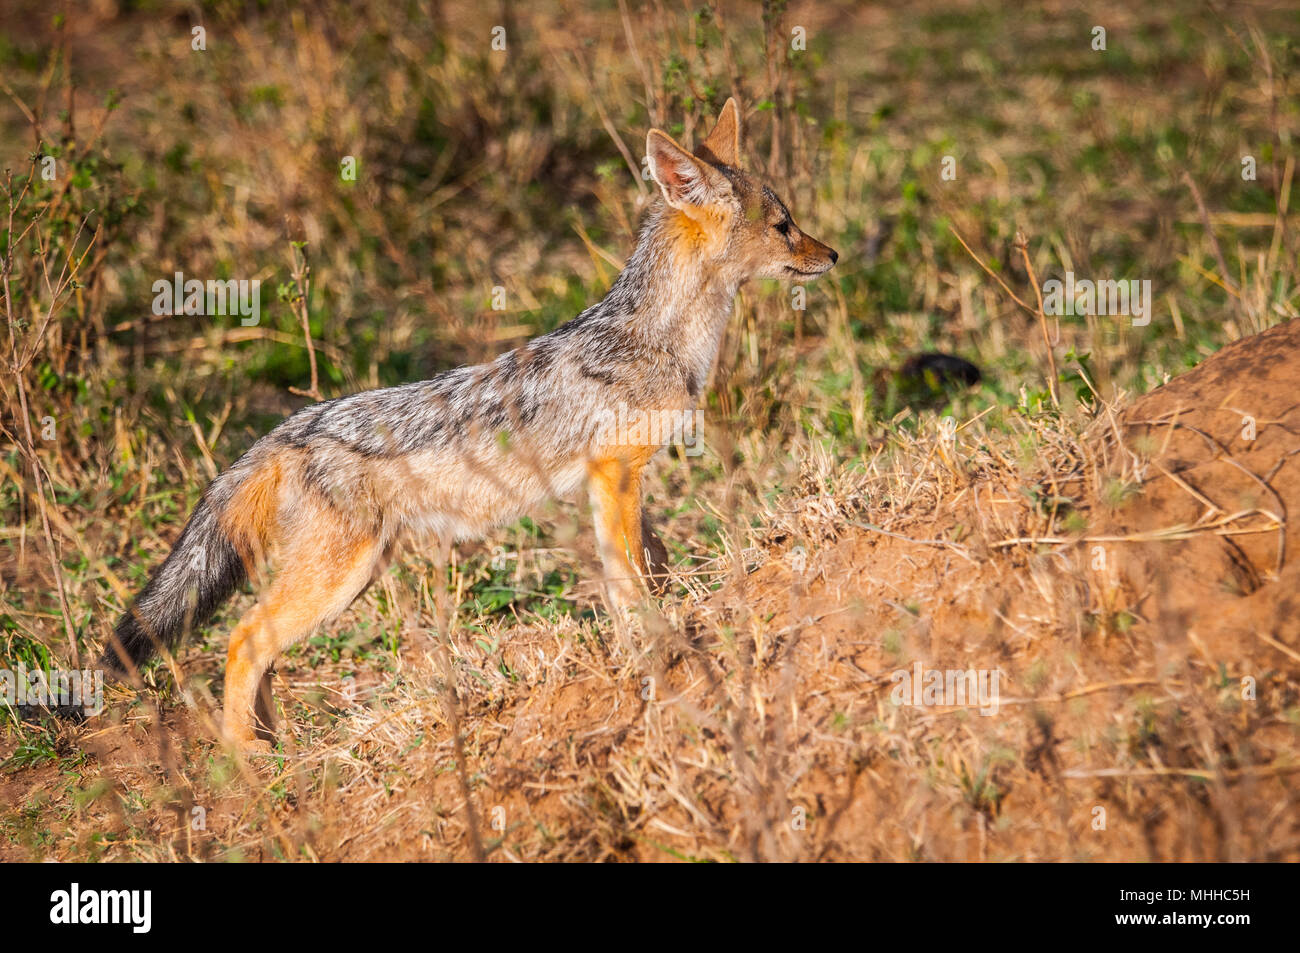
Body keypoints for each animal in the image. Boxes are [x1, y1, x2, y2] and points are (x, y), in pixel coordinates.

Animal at [103, 98, 838, 750]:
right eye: (784, 225)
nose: (831, 256)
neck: (658, 338)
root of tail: (290, 427)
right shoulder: (614, 474)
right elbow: (630, 580)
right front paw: (656, 643)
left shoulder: (618, 480)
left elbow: (648, 569)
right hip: (338, 578)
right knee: (241, 639)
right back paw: (246, 764)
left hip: (352, 575)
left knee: (260, 651)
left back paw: (275, 747)